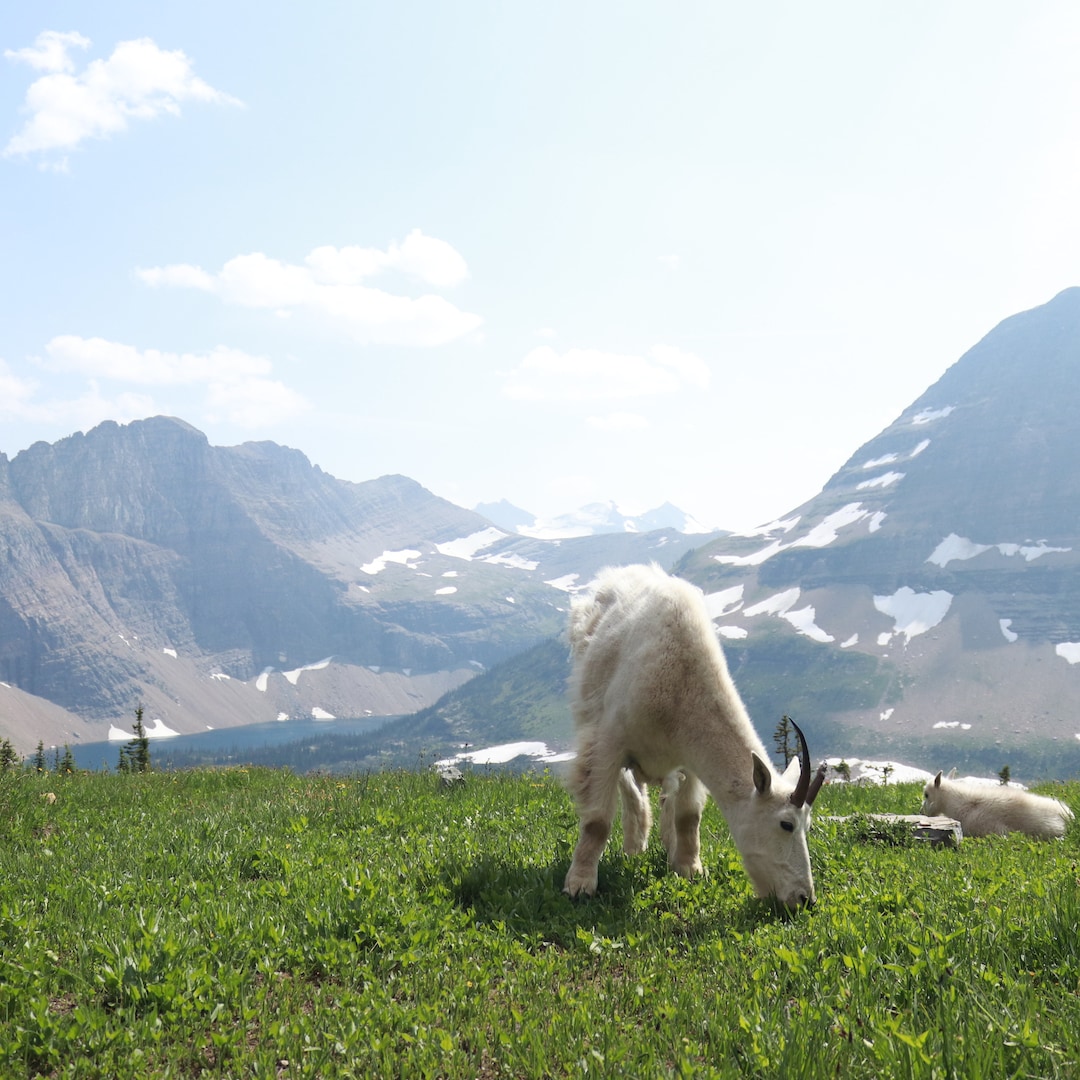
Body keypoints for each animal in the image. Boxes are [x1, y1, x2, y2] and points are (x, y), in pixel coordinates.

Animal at [563, 563, 826, 908]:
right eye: (786, 824)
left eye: (807, 825)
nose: (804, 898)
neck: (680, 687)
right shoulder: (610, 740)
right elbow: (597, 821)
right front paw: (580, 884)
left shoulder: (691, 757)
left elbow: (688, 816)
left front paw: (689, 868)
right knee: (630, 789)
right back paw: (634, 847)